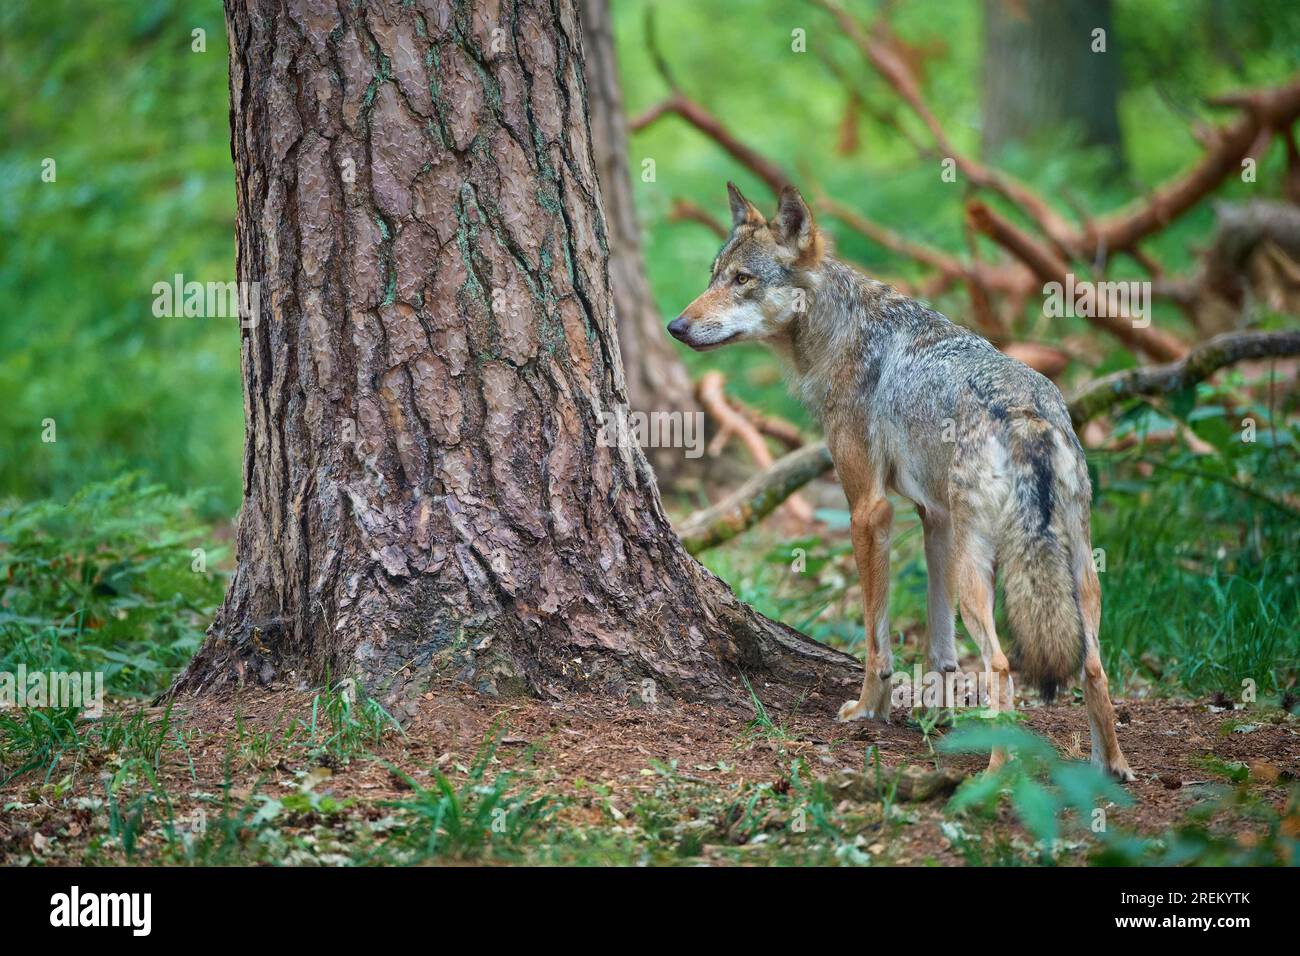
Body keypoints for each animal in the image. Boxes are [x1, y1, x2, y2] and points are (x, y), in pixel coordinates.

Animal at [668, 183, 1134, 780]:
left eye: (742, 279)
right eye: (714, 275)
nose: (676, 327)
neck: (840, 334)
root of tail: (1027, 413)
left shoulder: (869, 510)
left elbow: (877, 639)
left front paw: (870, 709)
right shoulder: (934, 519)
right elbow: (940, 647)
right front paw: (939, 717)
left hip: (980, 573)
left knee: (1002, 664)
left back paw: (997, 774)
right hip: (1077, 570)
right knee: (1094, 667)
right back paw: (1110, 768)